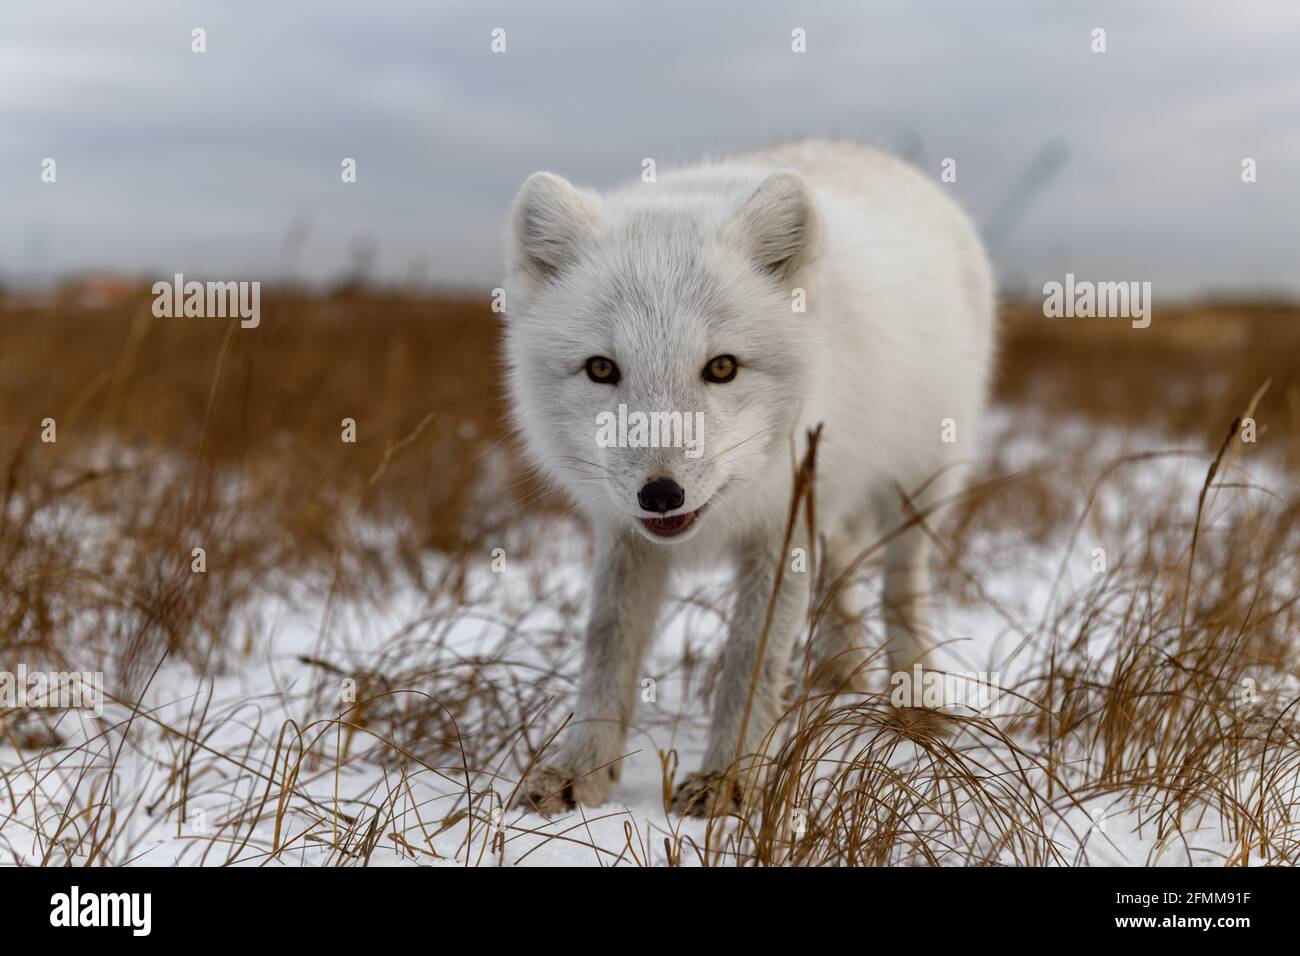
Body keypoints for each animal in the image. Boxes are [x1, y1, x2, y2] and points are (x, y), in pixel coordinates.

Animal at [502, 140, 996, 816]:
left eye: (722, 367)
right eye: (601, 369)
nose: (661, 494)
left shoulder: (779, 526)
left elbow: (750, 660)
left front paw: (730, 780)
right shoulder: (624, 535)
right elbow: (607, 649)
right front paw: (582, 770)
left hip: (917, 488)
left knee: (903, 588)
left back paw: (914, 695)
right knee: (844, 565)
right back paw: (843, 671)